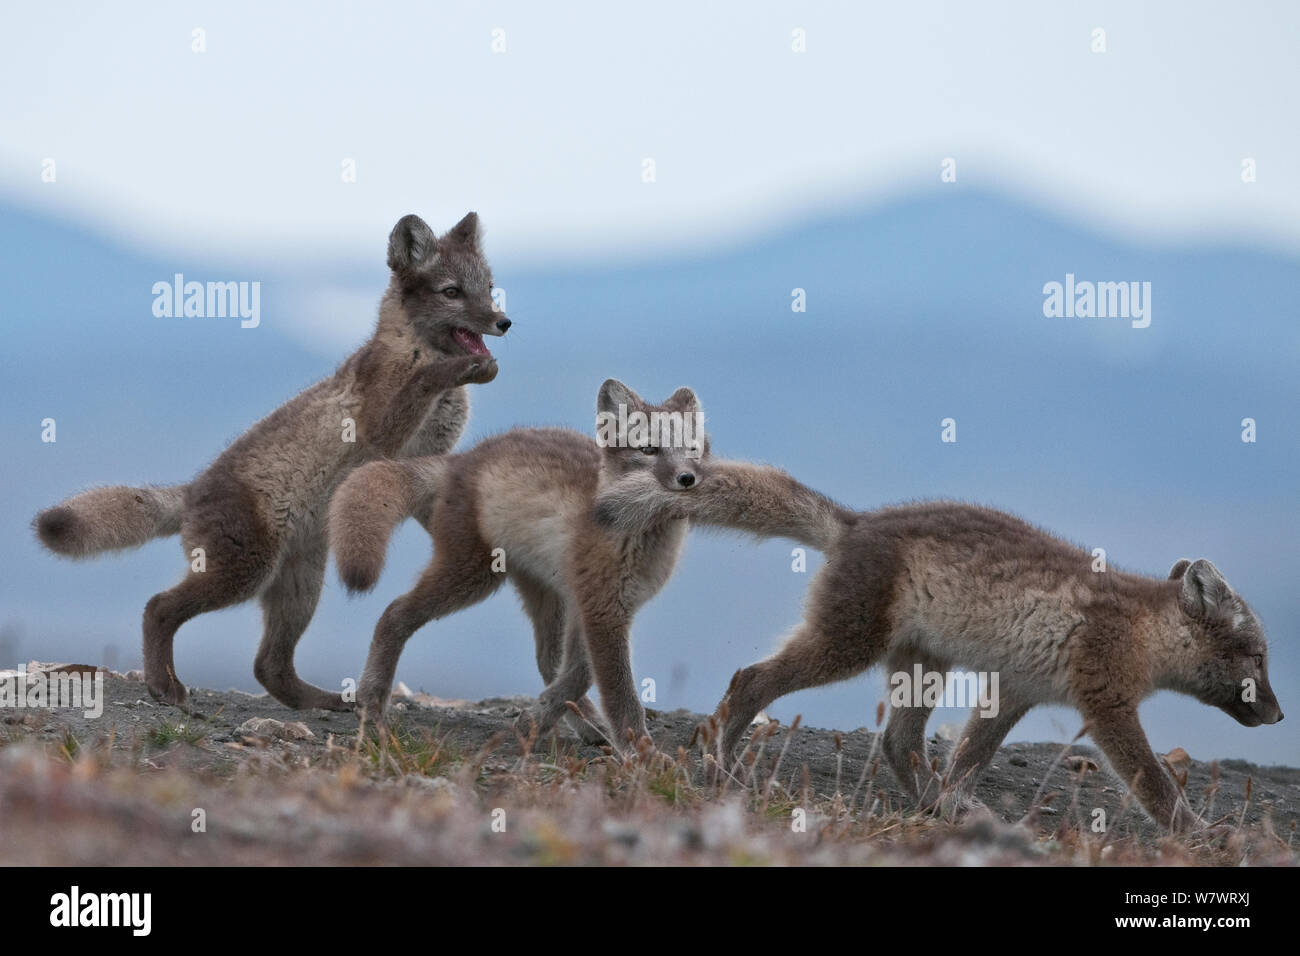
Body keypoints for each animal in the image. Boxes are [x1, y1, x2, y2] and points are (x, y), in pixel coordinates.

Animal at [33, 212, 507, 712]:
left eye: (489, 288)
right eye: (452, 291)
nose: (505, 321)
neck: (416, 354)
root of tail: (193, 490)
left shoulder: (424, 459)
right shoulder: (377, 433)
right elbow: (422, 382)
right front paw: (454, 371)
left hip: (300, 585)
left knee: (268, 666)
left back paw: (320, 700)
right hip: (245, 573)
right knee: (158, 607)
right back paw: (164, 685)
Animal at [327, 379, 707, 742]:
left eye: (692, 450)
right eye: (649, 450)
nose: (688, 479)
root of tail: (463, 458)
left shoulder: (603, 606)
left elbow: (579, 673)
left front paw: (537, 717)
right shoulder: (601, 610)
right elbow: (620, 695)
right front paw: (641, 751)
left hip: (548, 594)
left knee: (548, 660)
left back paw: (579, 724)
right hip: (474, 576)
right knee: (394, 614)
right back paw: (372, 702)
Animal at [594, 461, 1284, 831]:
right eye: (1256, 656)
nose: (1280, 716)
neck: (1143, 630)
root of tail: (856, 523)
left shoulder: (1016, 689)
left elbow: (970, 755)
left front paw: (957, 800)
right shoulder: (1107, 702)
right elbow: (1155, 782)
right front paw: (1202, 834)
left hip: (922, 663)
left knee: (897, 742)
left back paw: (939, 809)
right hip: (849, 645)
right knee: (751, 679)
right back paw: (721, 763)